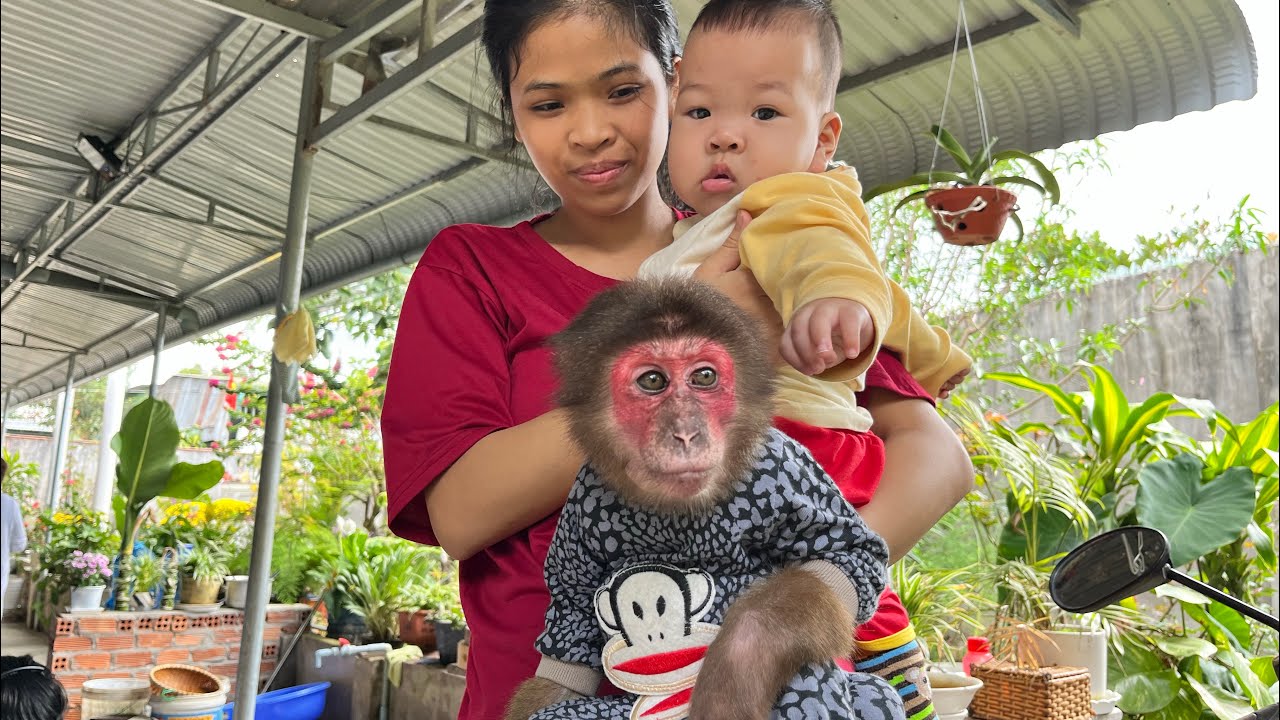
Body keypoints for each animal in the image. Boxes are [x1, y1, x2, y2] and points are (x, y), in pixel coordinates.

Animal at [505, 277, 905, 720]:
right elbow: (570, 632)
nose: (686, 433)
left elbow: (850, 557)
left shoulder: (783, 467)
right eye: (652, 381)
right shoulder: (582, 506)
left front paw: (735, 671)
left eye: (704, 376)